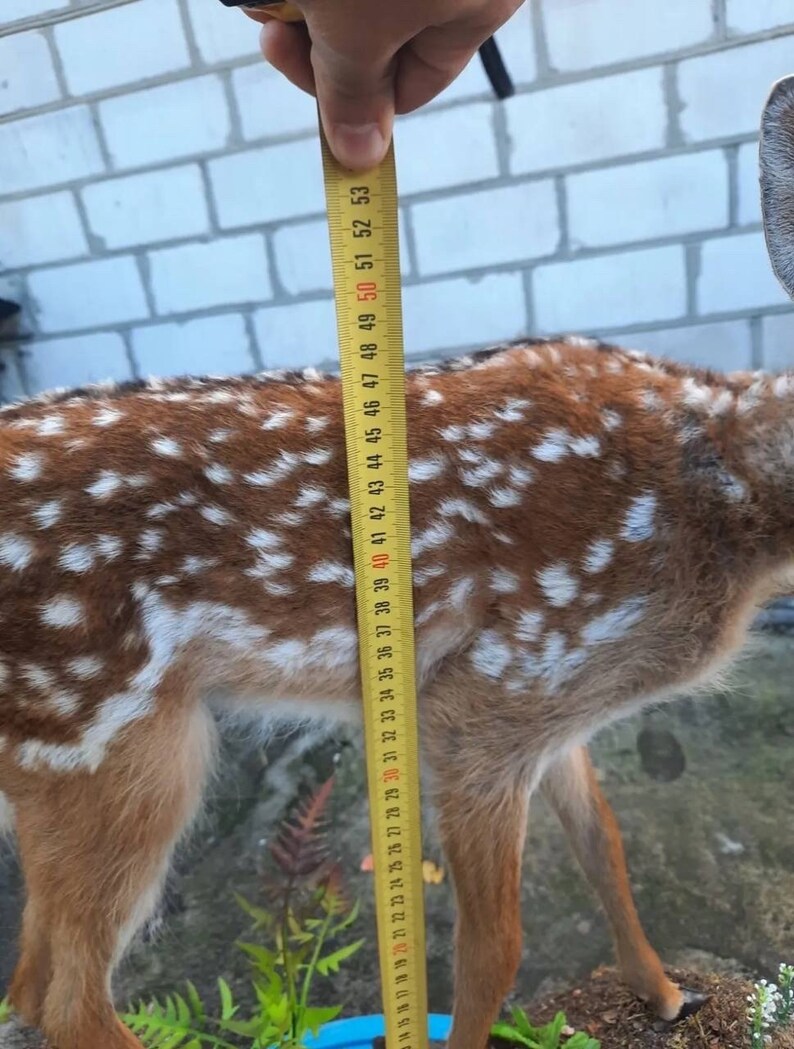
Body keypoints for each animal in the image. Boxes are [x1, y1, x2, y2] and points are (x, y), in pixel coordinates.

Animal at [1, 77, 794, 1049]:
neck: (717, 491)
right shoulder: (492, 694)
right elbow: (497, 947)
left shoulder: (552, 698)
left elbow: (604, 844)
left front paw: (666, 993)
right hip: (101, 741)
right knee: (68, 997)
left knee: (27, 984)